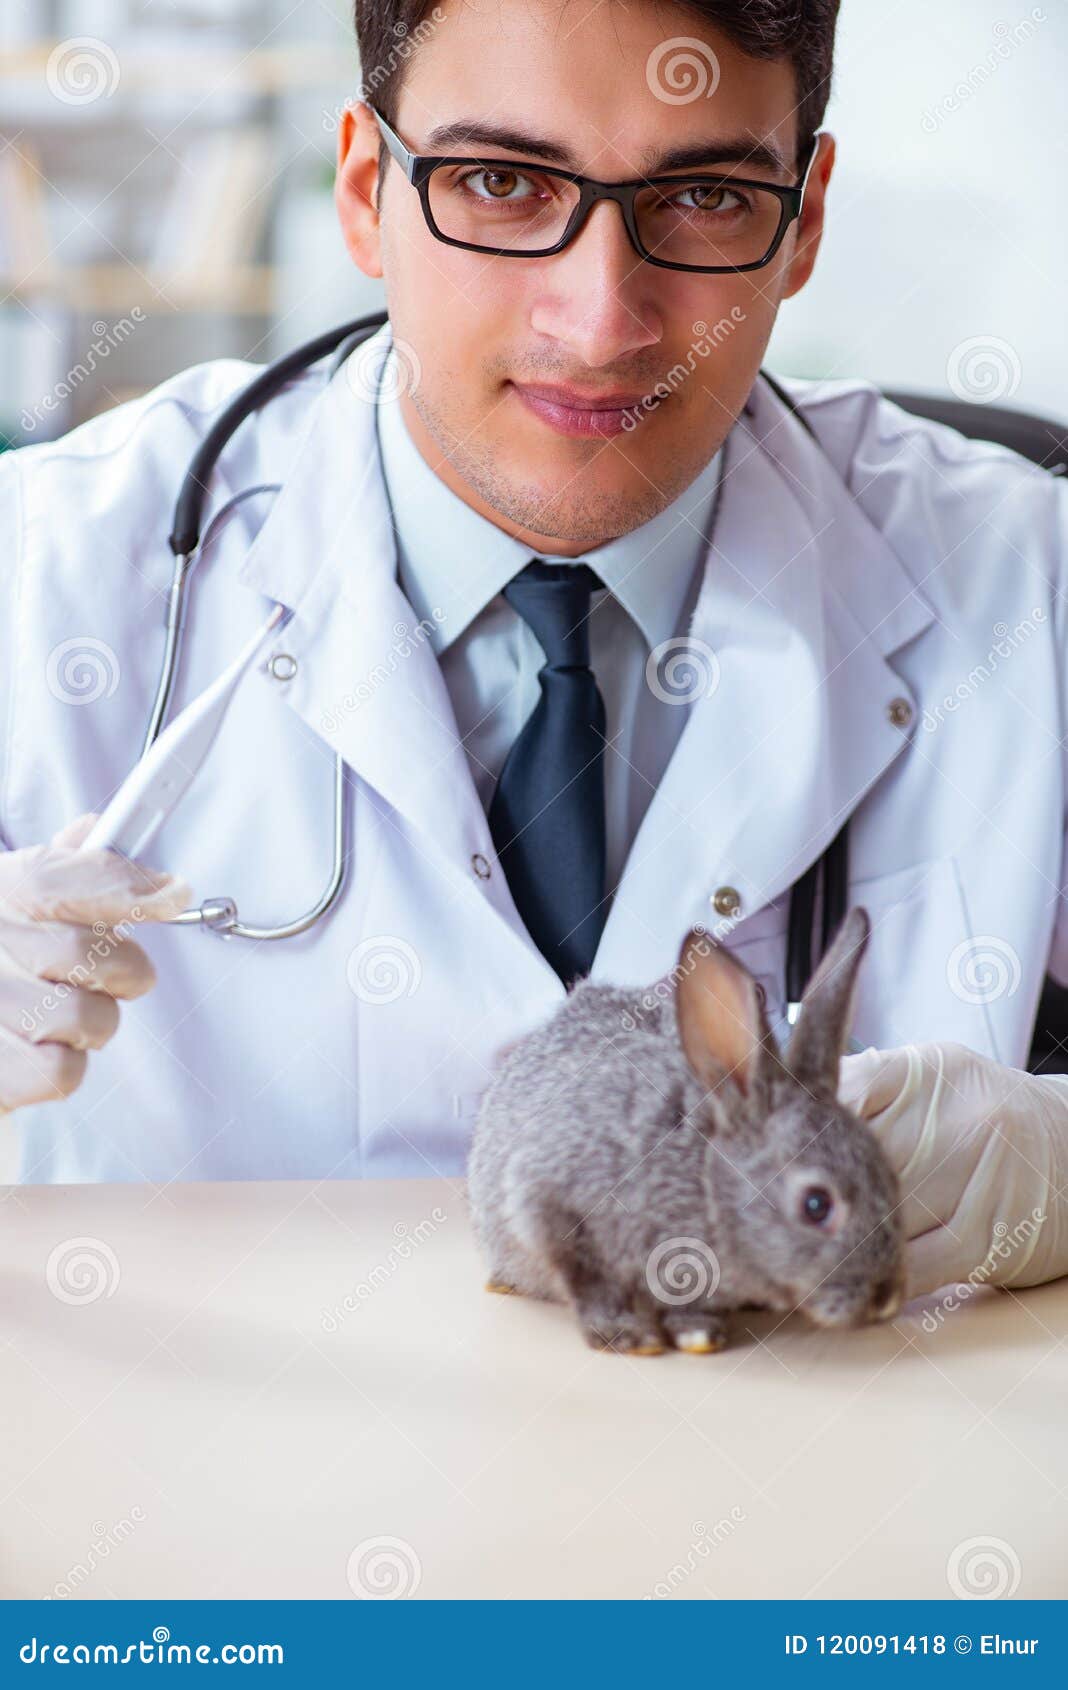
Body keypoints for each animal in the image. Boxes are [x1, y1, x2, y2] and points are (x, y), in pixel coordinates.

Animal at [466, 905, 905, 1354]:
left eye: (892, 1180)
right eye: (816, 1205)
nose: (886, 1299)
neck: (703, 1178)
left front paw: (699, 1333)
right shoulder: (552, 1204)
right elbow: (591, 1284)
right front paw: (627, 1336)